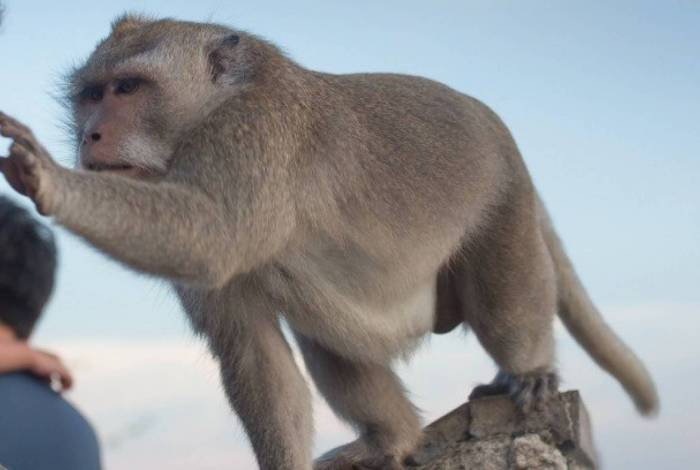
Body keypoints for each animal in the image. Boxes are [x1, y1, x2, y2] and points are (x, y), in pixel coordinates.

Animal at [0, 15, 658, 470]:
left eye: (128, 88)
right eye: (91, 94)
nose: (90, 135)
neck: (213, 107)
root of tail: (504, 136)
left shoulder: (252, 137)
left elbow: (210, 236)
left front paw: (46, 176)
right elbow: (255, 352)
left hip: (505, 204)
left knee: (505, 302)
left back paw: (528, 371)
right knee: (327, 337)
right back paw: (389, 439)